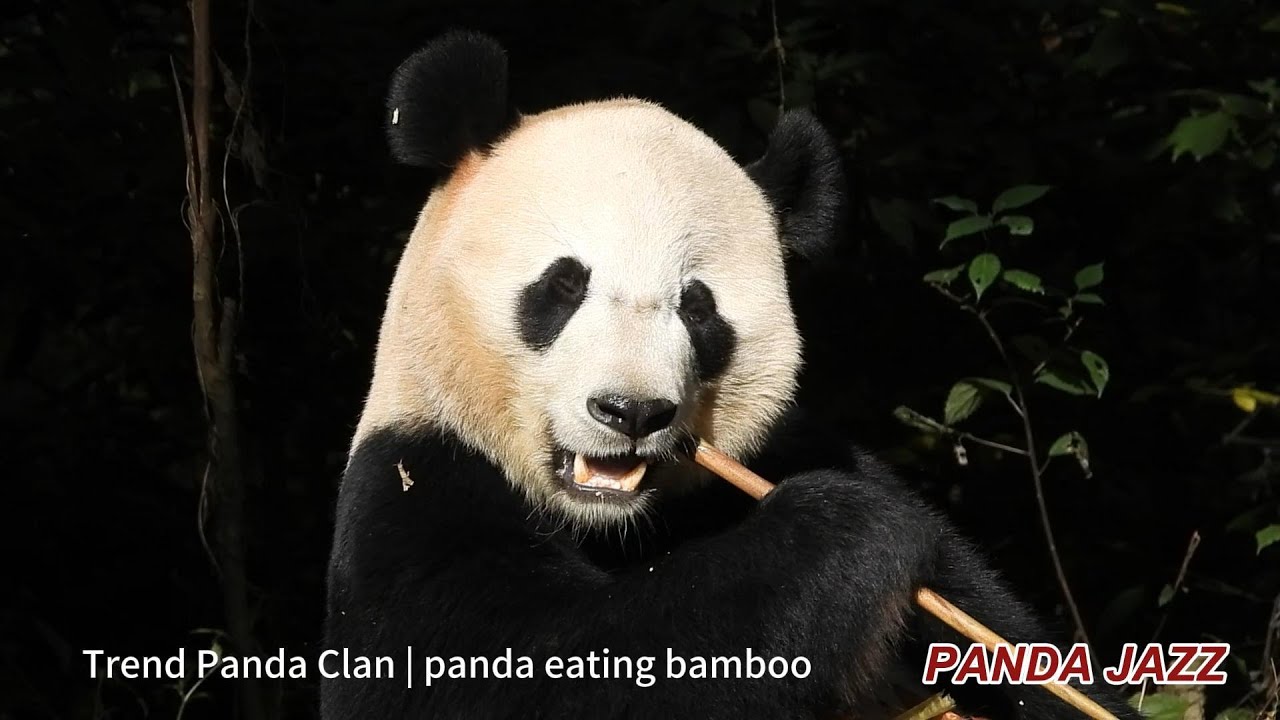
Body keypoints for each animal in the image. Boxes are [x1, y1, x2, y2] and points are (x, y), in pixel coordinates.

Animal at [322, 31, 1140, 720]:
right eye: (563, 285)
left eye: (697, 307)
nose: (631, 411)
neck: (614, 523)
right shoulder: (418, 489)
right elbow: (538, 674)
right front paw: (841, 529)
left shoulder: (786, 450)